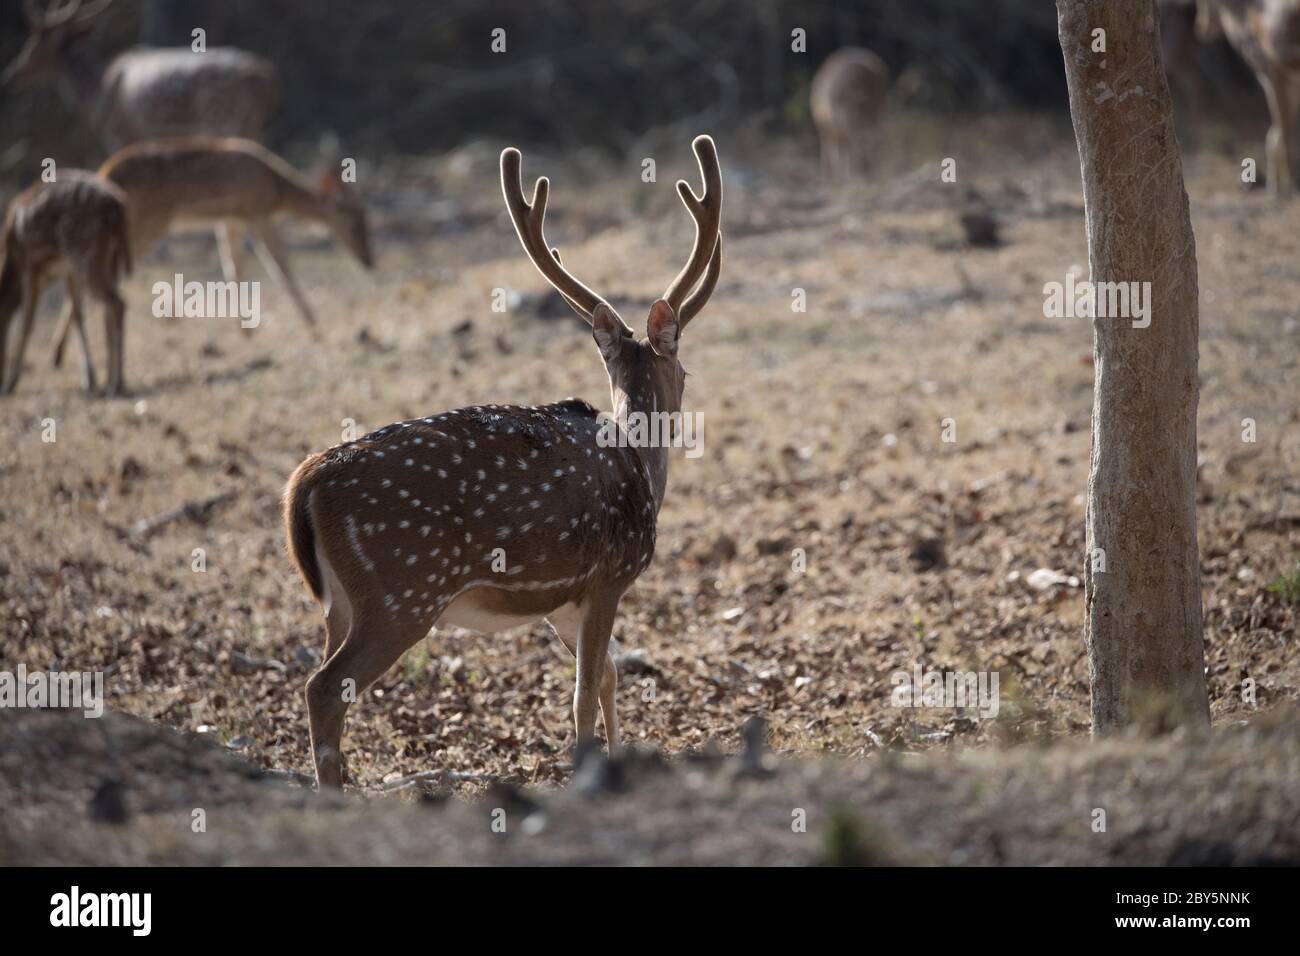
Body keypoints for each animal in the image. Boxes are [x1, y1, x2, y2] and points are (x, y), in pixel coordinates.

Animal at [0, 170, 130, 396]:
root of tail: (118, 209)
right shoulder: (68, 272)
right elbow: (78, 315)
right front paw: (89, 379)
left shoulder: (31, 266)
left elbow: (27, 323)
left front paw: (11, 383)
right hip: (108, 259)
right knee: (112, 304)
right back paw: (113, 381)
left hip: (87, 256)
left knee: (117, 302)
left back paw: (116, 384)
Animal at [3, 0, 279, 281]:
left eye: (37, 41)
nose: (13, 74)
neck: (96, 98)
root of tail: (266, 78)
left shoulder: (120, 135)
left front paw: (160, 251)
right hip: (252, 130)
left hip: (224, 122)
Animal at [49, 137, 373, 374]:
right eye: (353, 218)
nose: (369, 259)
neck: (276, 191)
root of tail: (104, 173)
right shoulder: (257, 212)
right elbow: (280, 265)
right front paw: (313, 323)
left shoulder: (231, 219)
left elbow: (234, 267)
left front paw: (247, 330)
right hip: (146, 221)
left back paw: (59, 353)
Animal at [282, 135, 722, 789]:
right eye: (686, 372)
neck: (642, 466)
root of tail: (304, 481)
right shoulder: (610, 574)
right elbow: (583, 691)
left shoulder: (562, 601)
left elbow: (609, 675)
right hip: (403, 589)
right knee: (325, 688)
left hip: (339, 602)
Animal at [1195, 0, 1300, 196]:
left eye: (1203, 2)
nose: (1201, 27)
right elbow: (1275, 134)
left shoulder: (1275, 77)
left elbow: (1278, 136)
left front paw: (1281, 188)